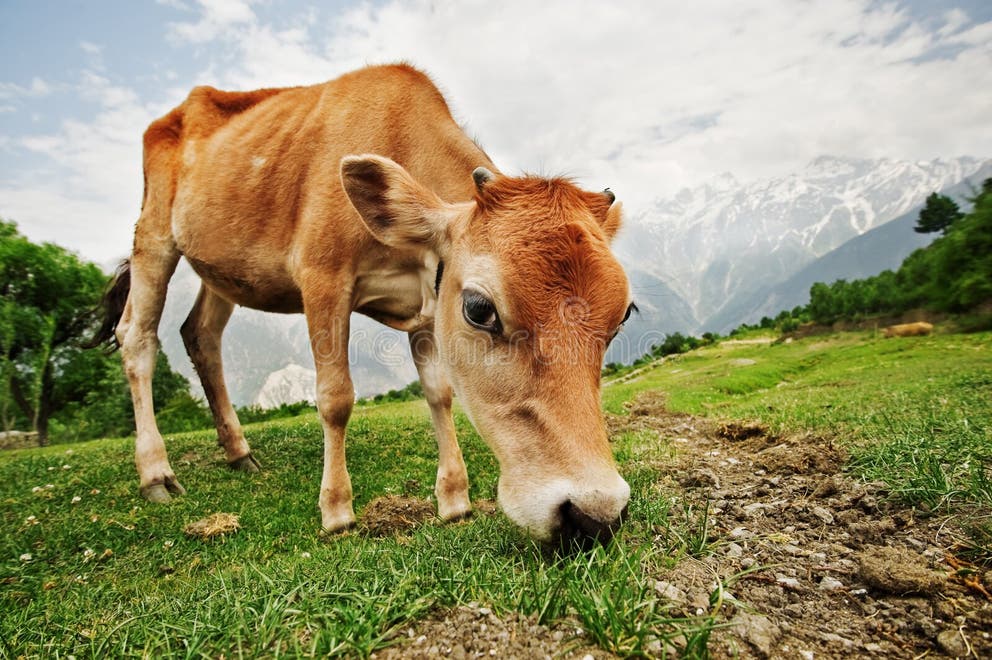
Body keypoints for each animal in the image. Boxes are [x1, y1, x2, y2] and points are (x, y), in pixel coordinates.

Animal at [88, 64, 634, 546]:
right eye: (480, 308)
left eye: (622, 317)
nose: (592, 514)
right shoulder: (322, 275)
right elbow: (336, 397)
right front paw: (336, 510)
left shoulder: (427, 300)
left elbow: (439, 392)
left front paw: (454, 499)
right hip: (154, 233)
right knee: (137, 337)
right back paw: (155, 472)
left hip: (221, 269)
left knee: (201, 335)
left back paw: (239, 452)